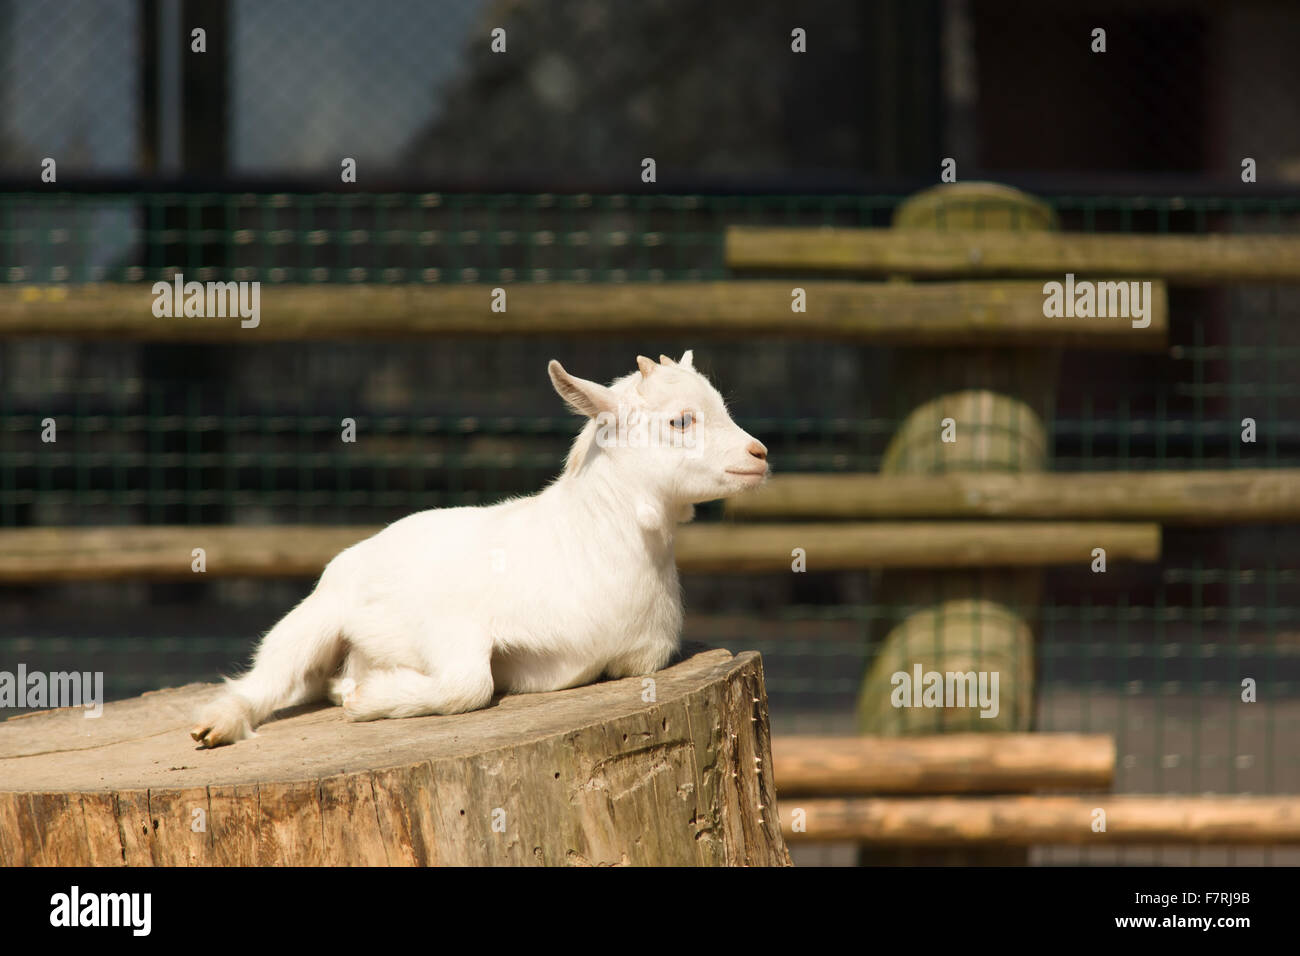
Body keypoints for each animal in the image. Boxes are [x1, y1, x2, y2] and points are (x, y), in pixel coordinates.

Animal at [190, 350, 768, 747]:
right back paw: (217, 723)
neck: (582, 542)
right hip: (316, 613)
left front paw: (360, 691)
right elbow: (469, 685)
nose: (759, 453)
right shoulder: (451, 623)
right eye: (681, 420)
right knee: (269, 673)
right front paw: (368, 698)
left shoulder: (644, 655)